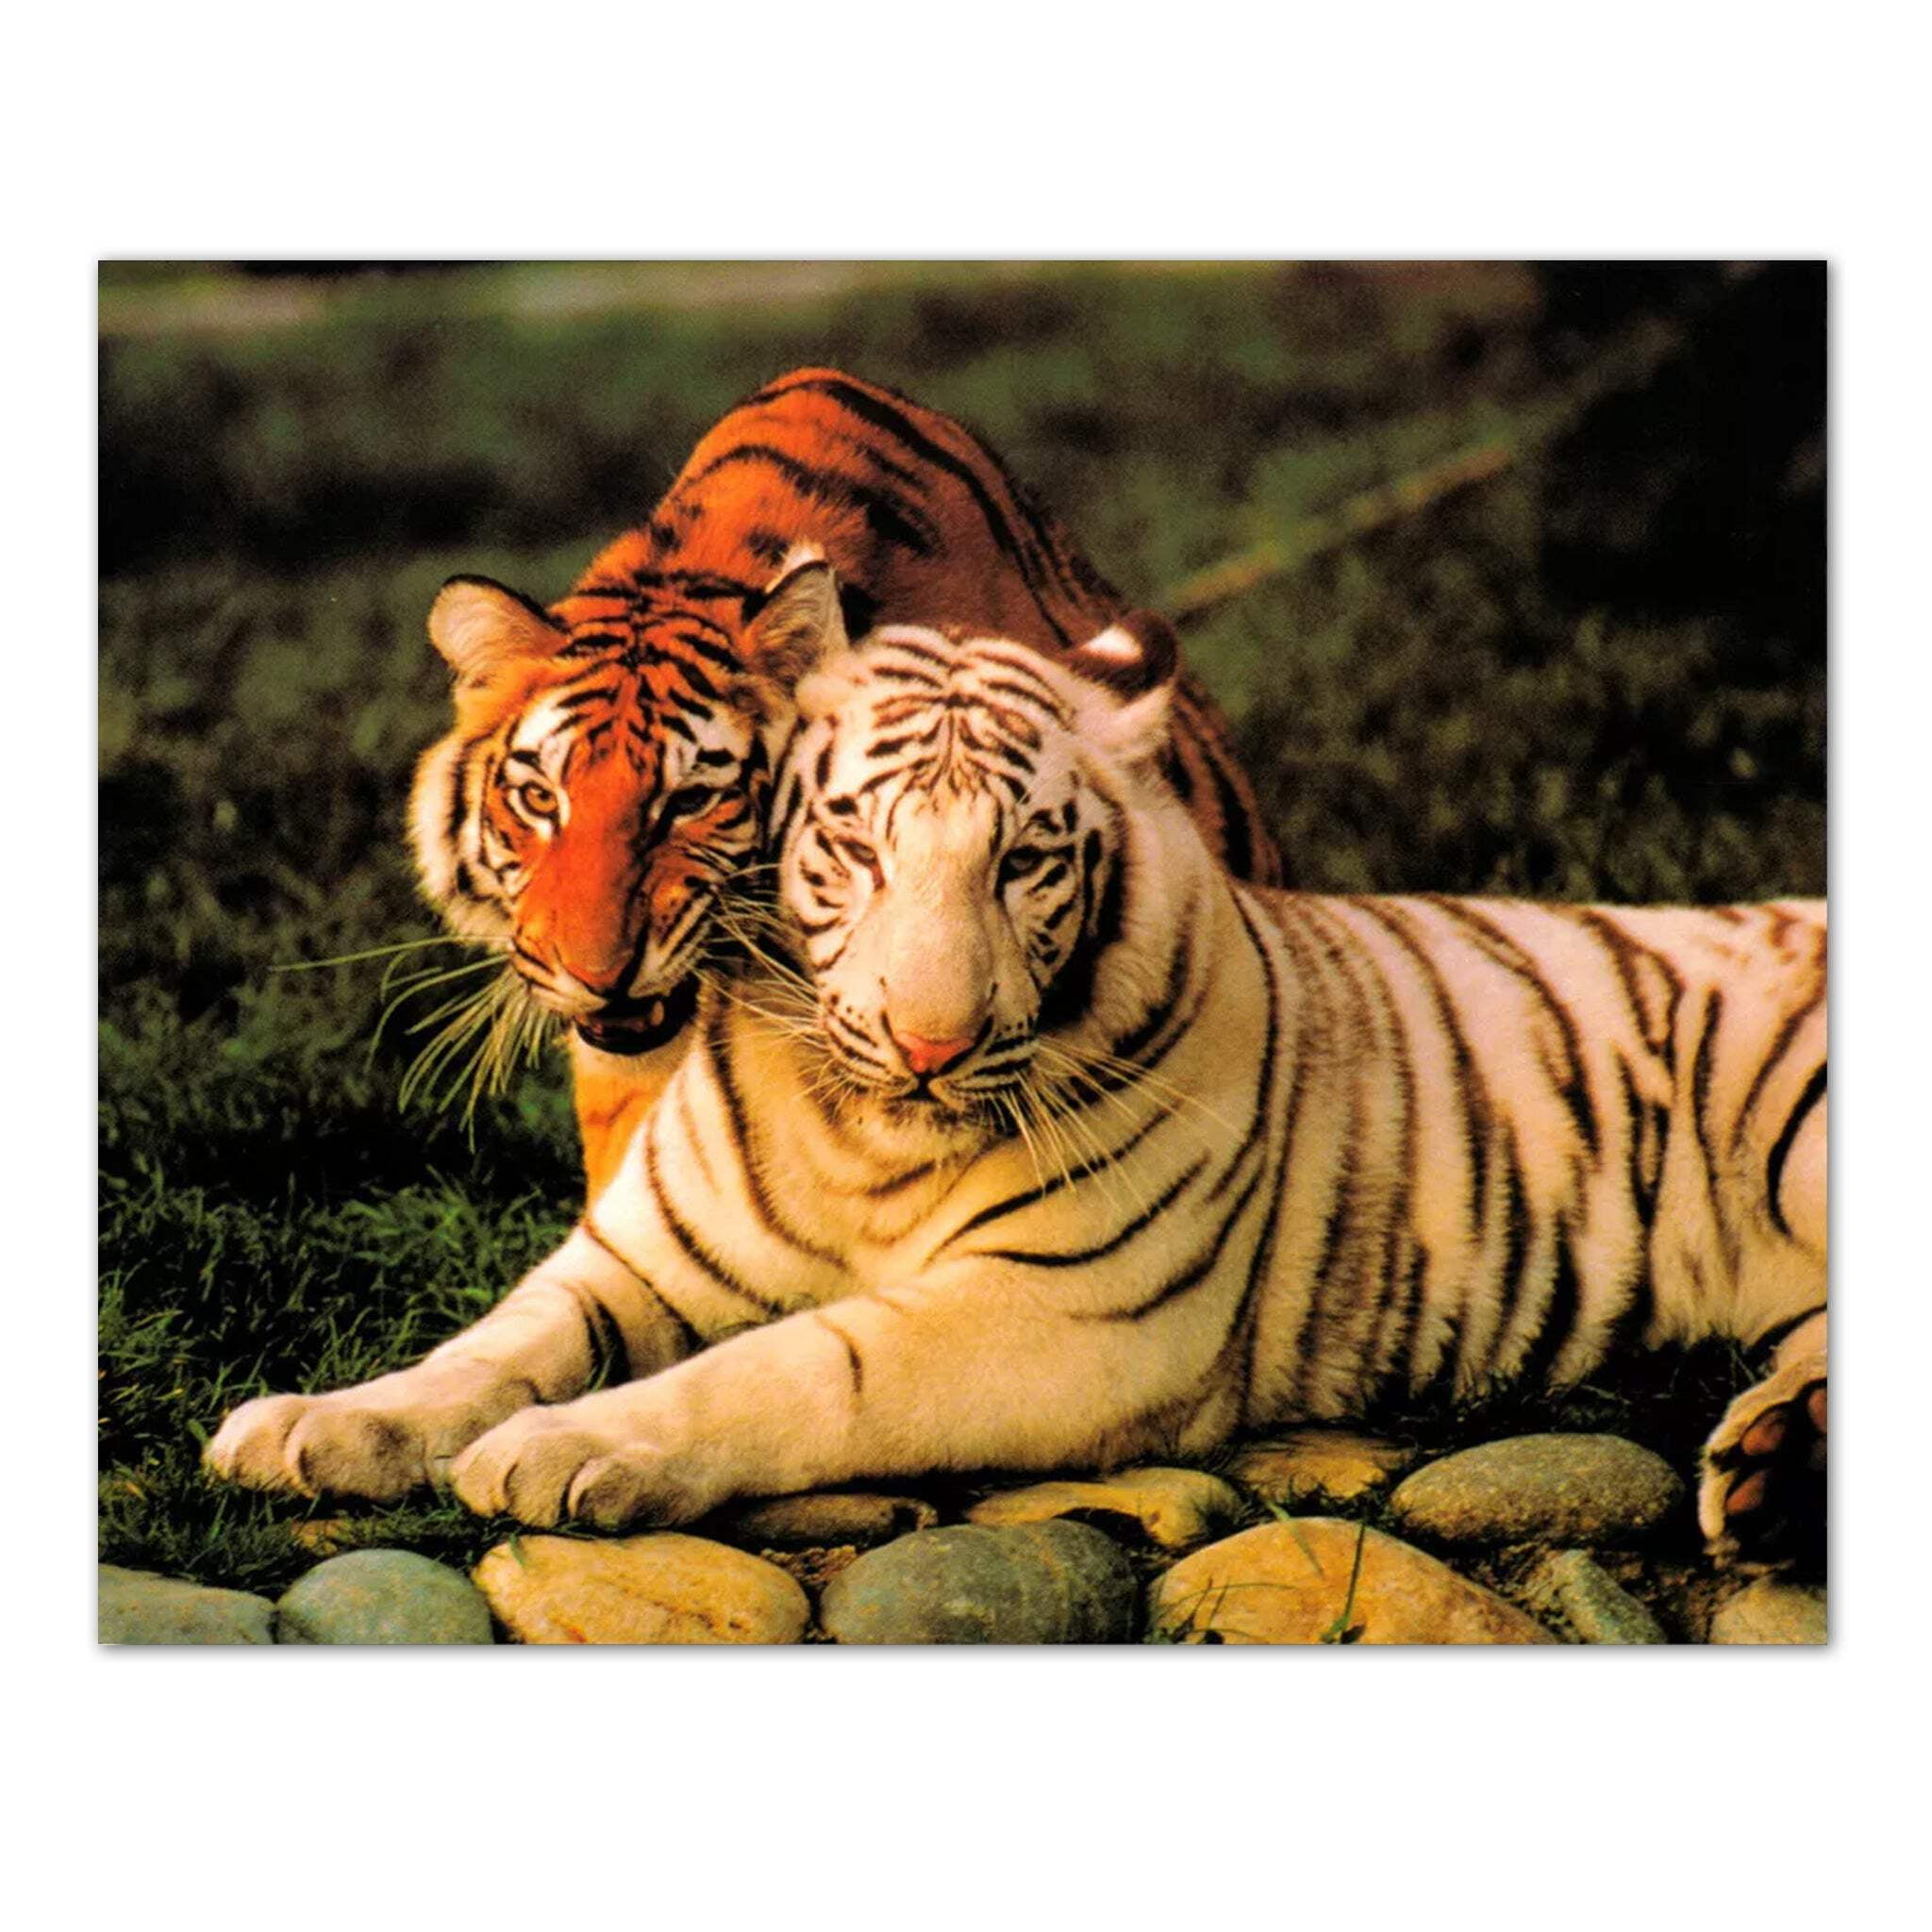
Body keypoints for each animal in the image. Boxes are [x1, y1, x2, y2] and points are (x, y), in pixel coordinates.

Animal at [210, 562, 1826, 1575]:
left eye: (1027, 861)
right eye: (853, 847)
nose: (931, 1042)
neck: (857, 1128)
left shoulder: (1066, 1311)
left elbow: (795, 1366)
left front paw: (562, 1451)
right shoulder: (636, 1261)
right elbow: (491, 1346)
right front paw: (317, 1424)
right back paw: (1772, 1469)